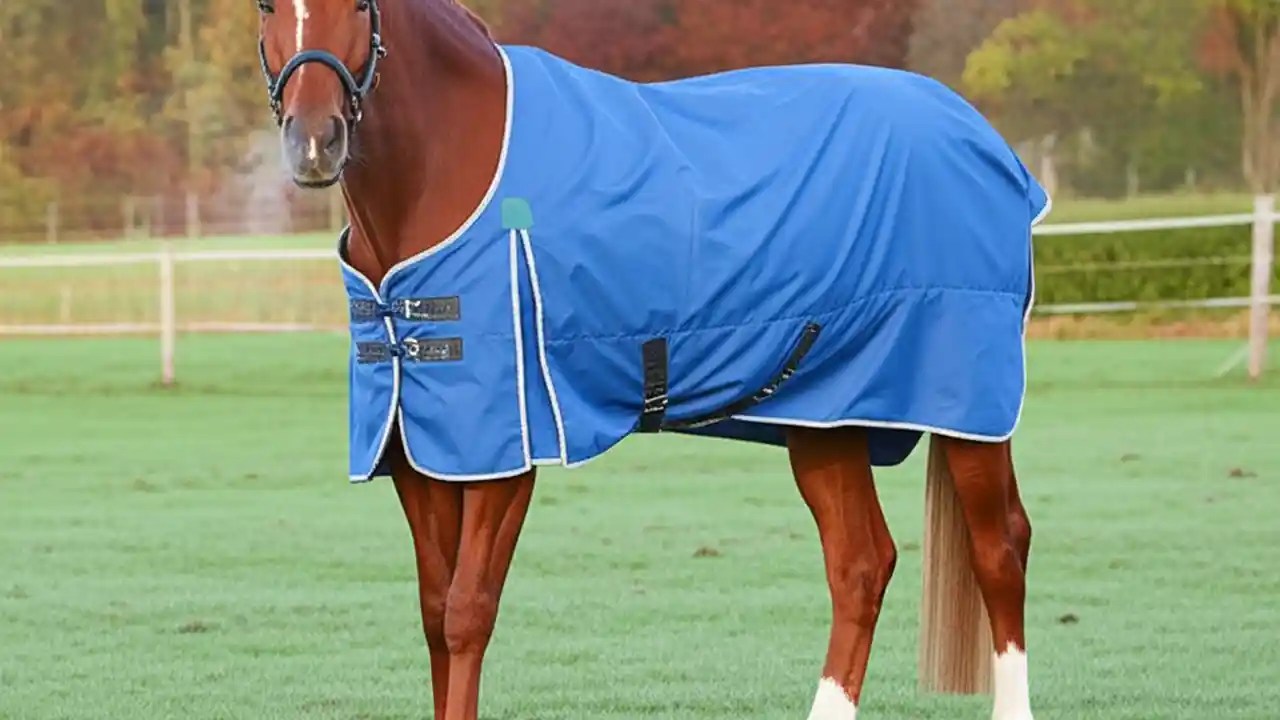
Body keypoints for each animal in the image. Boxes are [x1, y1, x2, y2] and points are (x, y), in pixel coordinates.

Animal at [255, 1, 1045, 718]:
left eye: (361, 4)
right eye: (267, 6)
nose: (315, 143)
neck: (450, 174)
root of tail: (985, 140)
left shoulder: (507, 448)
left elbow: (466, 613)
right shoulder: (422, 449)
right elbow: (432, 614)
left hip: (969, 410)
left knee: (1000, 549)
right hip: (829, 417)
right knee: (860, 565)